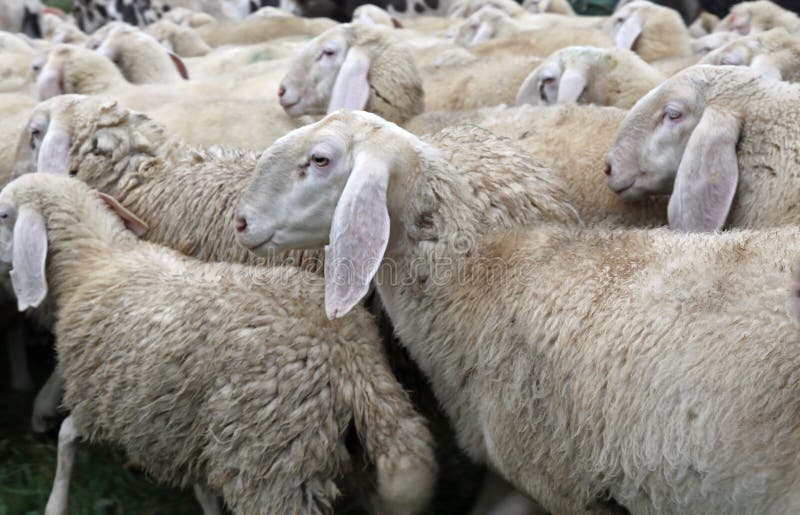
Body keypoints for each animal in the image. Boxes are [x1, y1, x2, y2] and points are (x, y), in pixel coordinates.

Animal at [0, 172, 437, 515]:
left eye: (4, 214)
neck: (96, 261)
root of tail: (349, 354)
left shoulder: (108, 399)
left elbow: (66, 434)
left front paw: (54, 502)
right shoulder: (173, 420)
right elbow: (203, 487)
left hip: (270, 455)